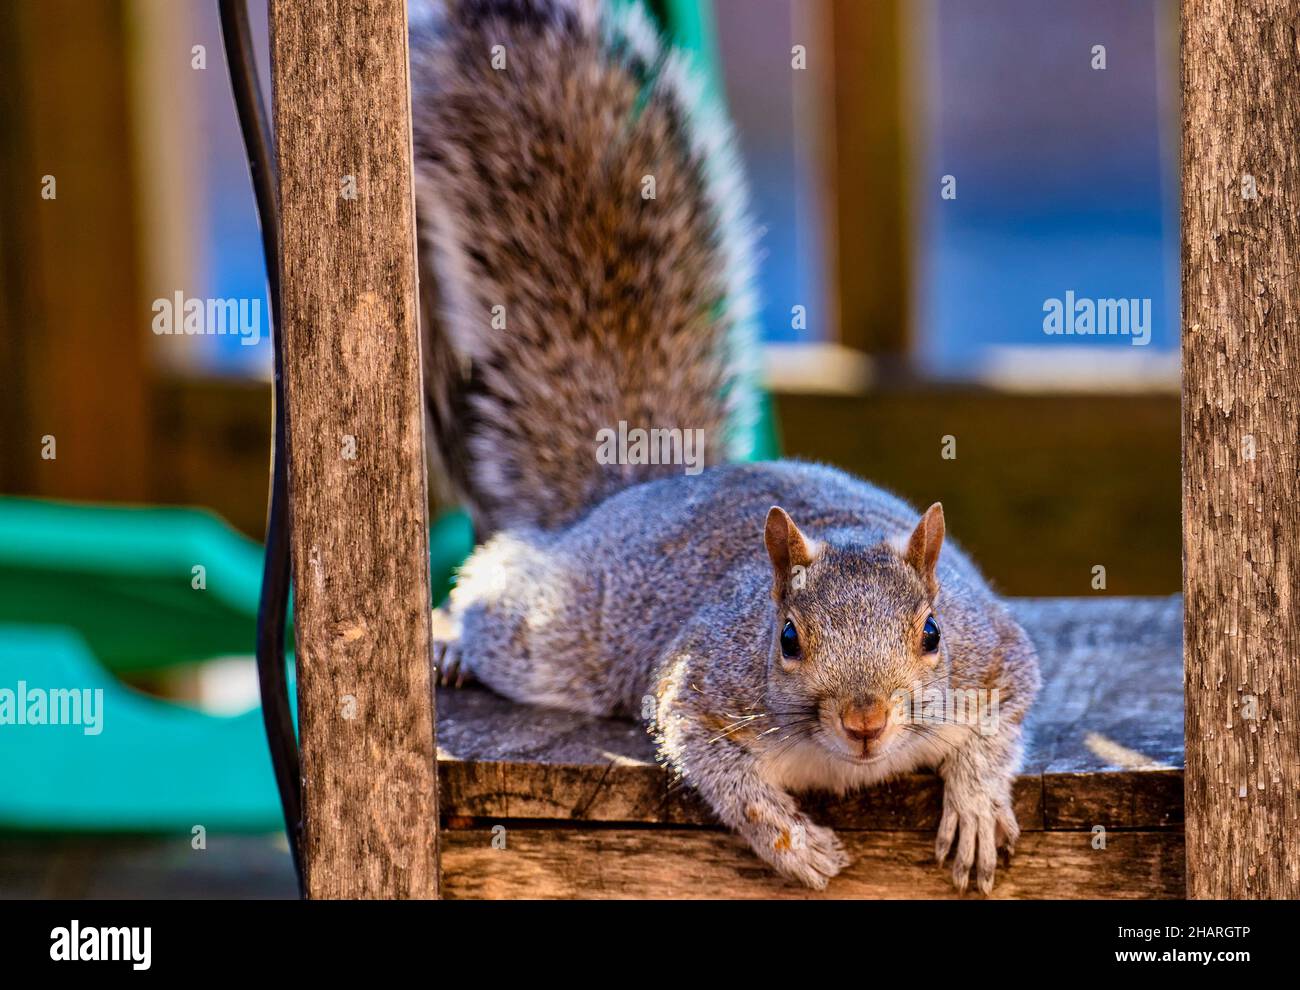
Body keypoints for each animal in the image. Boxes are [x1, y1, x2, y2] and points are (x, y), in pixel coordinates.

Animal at [409, 0, 1041, 893]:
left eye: (932, 634)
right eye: (787, 638)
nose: (866, 720)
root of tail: (629, 495)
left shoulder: (996, 660)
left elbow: (1003, 723)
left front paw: (978, 804)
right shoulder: (700, 687)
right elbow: (719, 772)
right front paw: (792, 841)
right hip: (550, 632)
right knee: (495, 595)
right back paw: (453, 642)